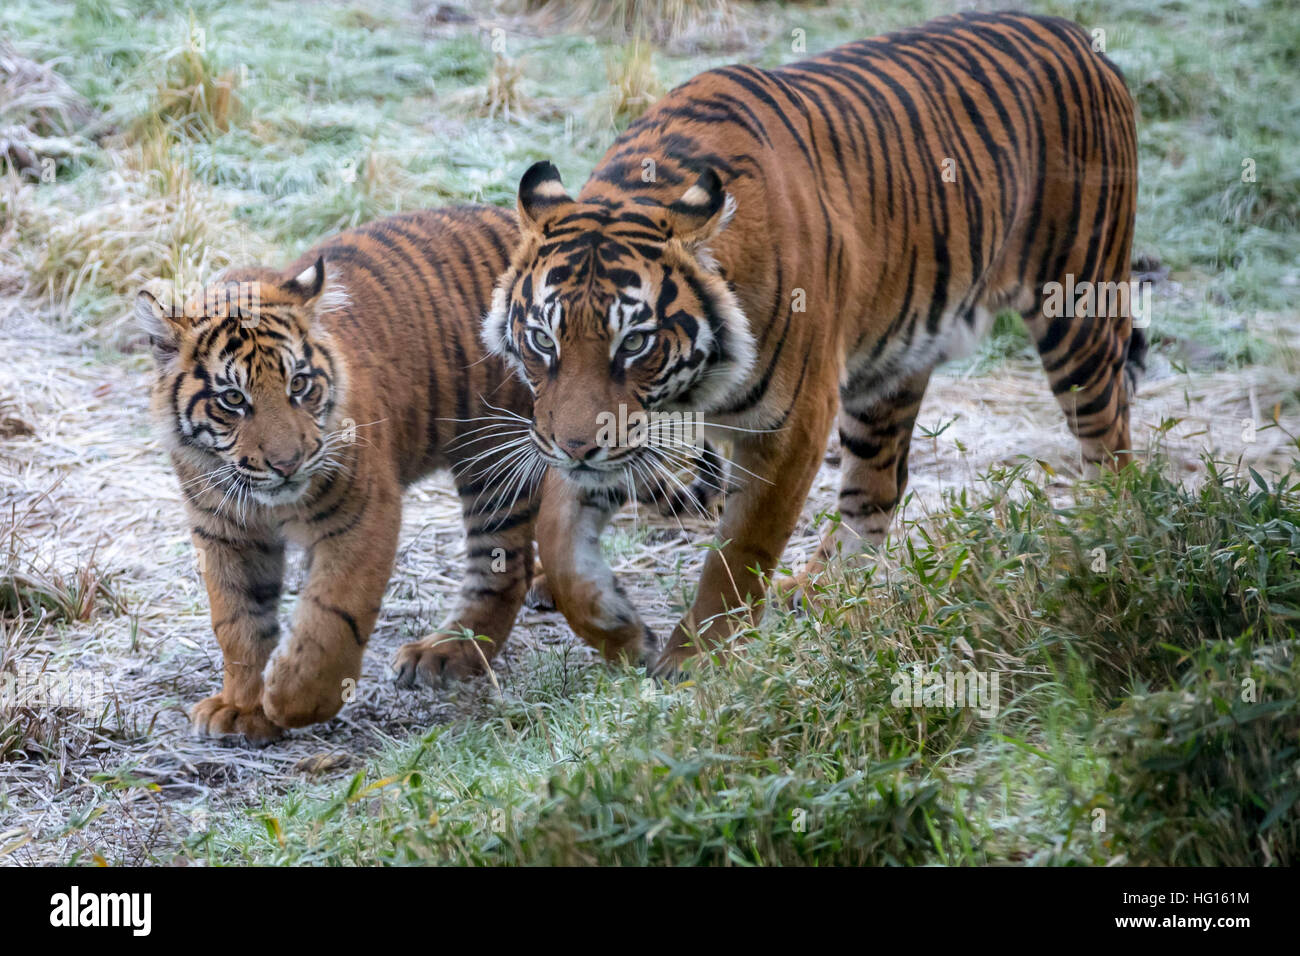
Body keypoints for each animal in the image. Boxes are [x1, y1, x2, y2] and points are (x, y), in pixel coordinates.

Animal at [136, 206, 546, 743]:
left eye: (298, 385)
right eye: (232, 399)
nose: (286, 464)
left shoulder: (363, 513)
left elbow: (332, 613)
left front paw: (295, 700)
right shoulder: (223, 529)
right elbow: (238, 621)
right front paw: (241, 708)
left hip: (496, 453)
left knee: (503, 564)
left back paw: (446, 655)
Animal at [485, 10, 1145, 675]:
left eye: (634, 344)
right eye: (543, 339)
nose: (576, 449)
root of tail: (1076, 34)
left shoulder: (791, 421)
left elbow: (739, 553)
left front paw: (696, 662)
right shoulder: (596, 426)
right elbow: (558, 536)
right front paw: (618, 631)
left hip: (1078, 308)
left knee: (1110, 440)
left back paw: (1112, 539)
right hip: (891, 370)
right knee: (877, 486)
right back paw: (819, 590)